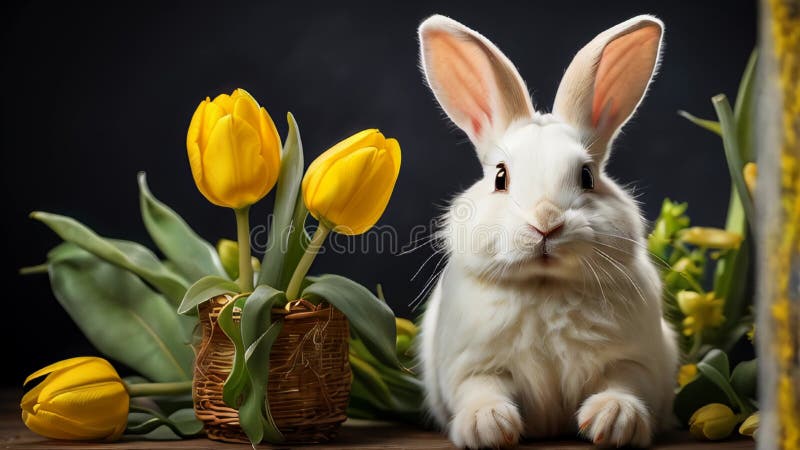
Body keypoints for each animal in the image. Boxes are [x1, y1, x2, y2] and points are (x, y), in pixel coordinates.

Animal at [417, 14, 678, 449]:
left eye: (587, 176)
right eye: (500, 178)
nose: (546, 222)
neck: (545, 286)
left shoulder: (634, 360)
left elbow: (624, 384)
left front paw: (613, 420)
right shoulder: (471, 365)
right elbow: (480, 389)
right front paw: (488, 426)